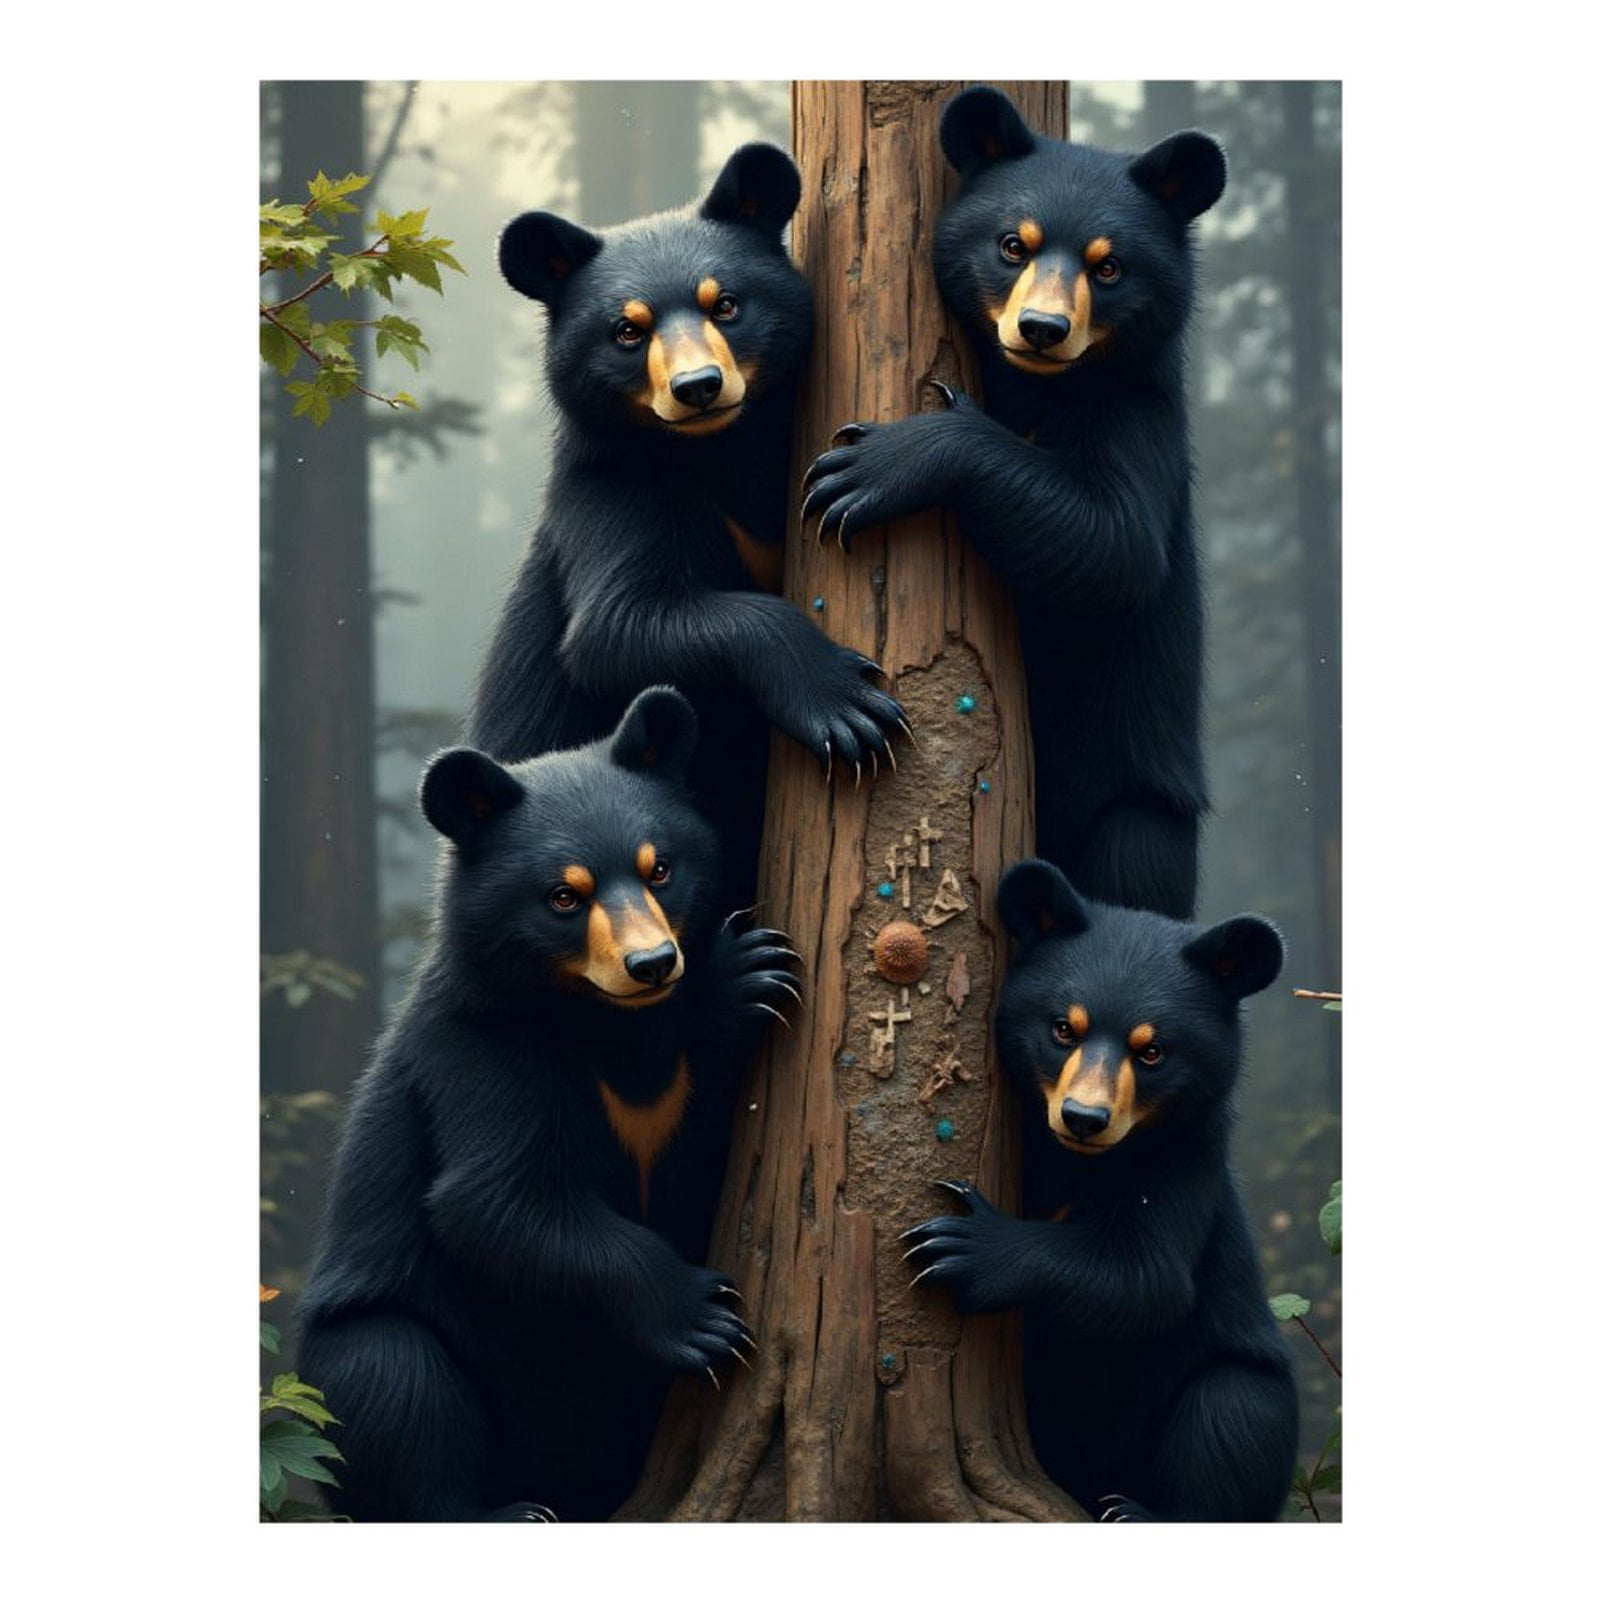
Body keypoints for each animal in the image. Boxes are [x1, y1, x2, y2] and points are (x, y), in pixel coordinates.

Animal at [297, 688, 801, 1522]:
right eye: (565, 896)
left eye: (660, 868)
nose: (652, 963)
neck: (601, 1020)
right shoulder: (478, 1053)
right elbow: (496, 1203)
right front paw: (704, 1317)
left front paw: (746, 975)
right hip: (357, 1367)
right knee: (394, 1379)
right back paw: (510, 1511)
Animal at [476, 142, 906, 915]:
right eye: (628, 330)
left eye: (725, 304)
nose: (698, 387)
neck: (721, 449)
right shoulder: (612, 492)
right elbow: (617, 628)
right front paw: (851, 706)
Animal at [801, 86, 1226, 919]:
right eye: (1012, 245)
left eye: (1110, 265)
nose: (1042, 328)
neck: (1037, 384)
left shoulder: (1141, 422)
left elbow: (1112, 548)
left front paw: (862, 472)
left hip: (1134, 806)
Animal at [901, 858, 1298, 1522]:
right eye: (1064, 1028)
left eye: (1152, 1050)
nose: (1083, 1117)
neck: (1079, 1161)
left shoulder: (1185, 1163)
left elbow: (1144, 1278)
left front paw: (955, 1244)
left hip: (1239, 1388)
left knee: (1233, 1412)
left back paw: (1134, 1511)